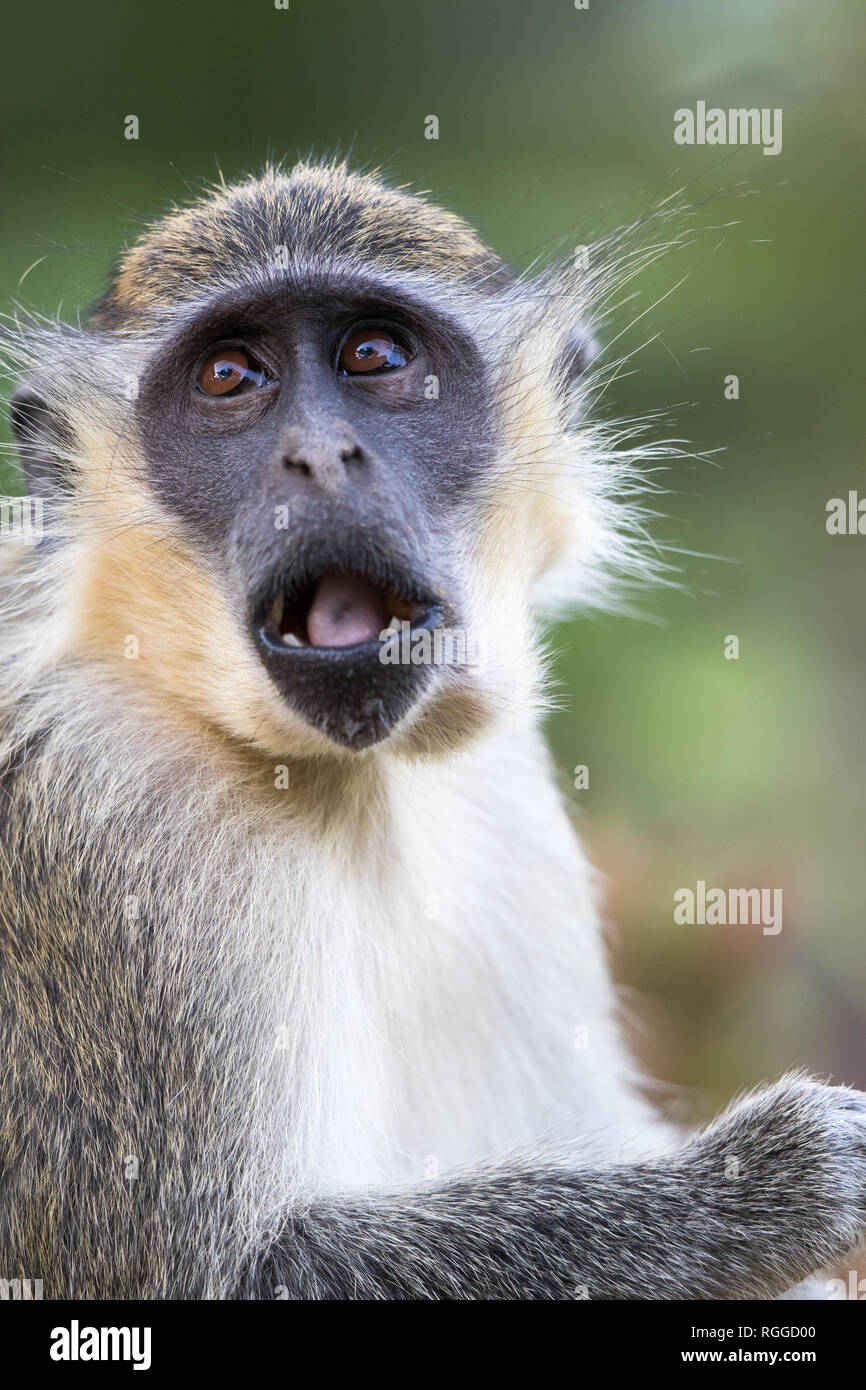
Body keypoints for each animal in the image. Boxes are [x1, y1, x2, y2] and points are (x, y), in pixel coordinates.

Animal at [0, 158, 864, 1301]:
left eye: (375, 356)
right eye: (229, 378)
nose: (320, 456)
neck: (346, 780)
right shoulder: (100, 818)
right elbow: (221, 1274)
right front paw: (770, 1184)